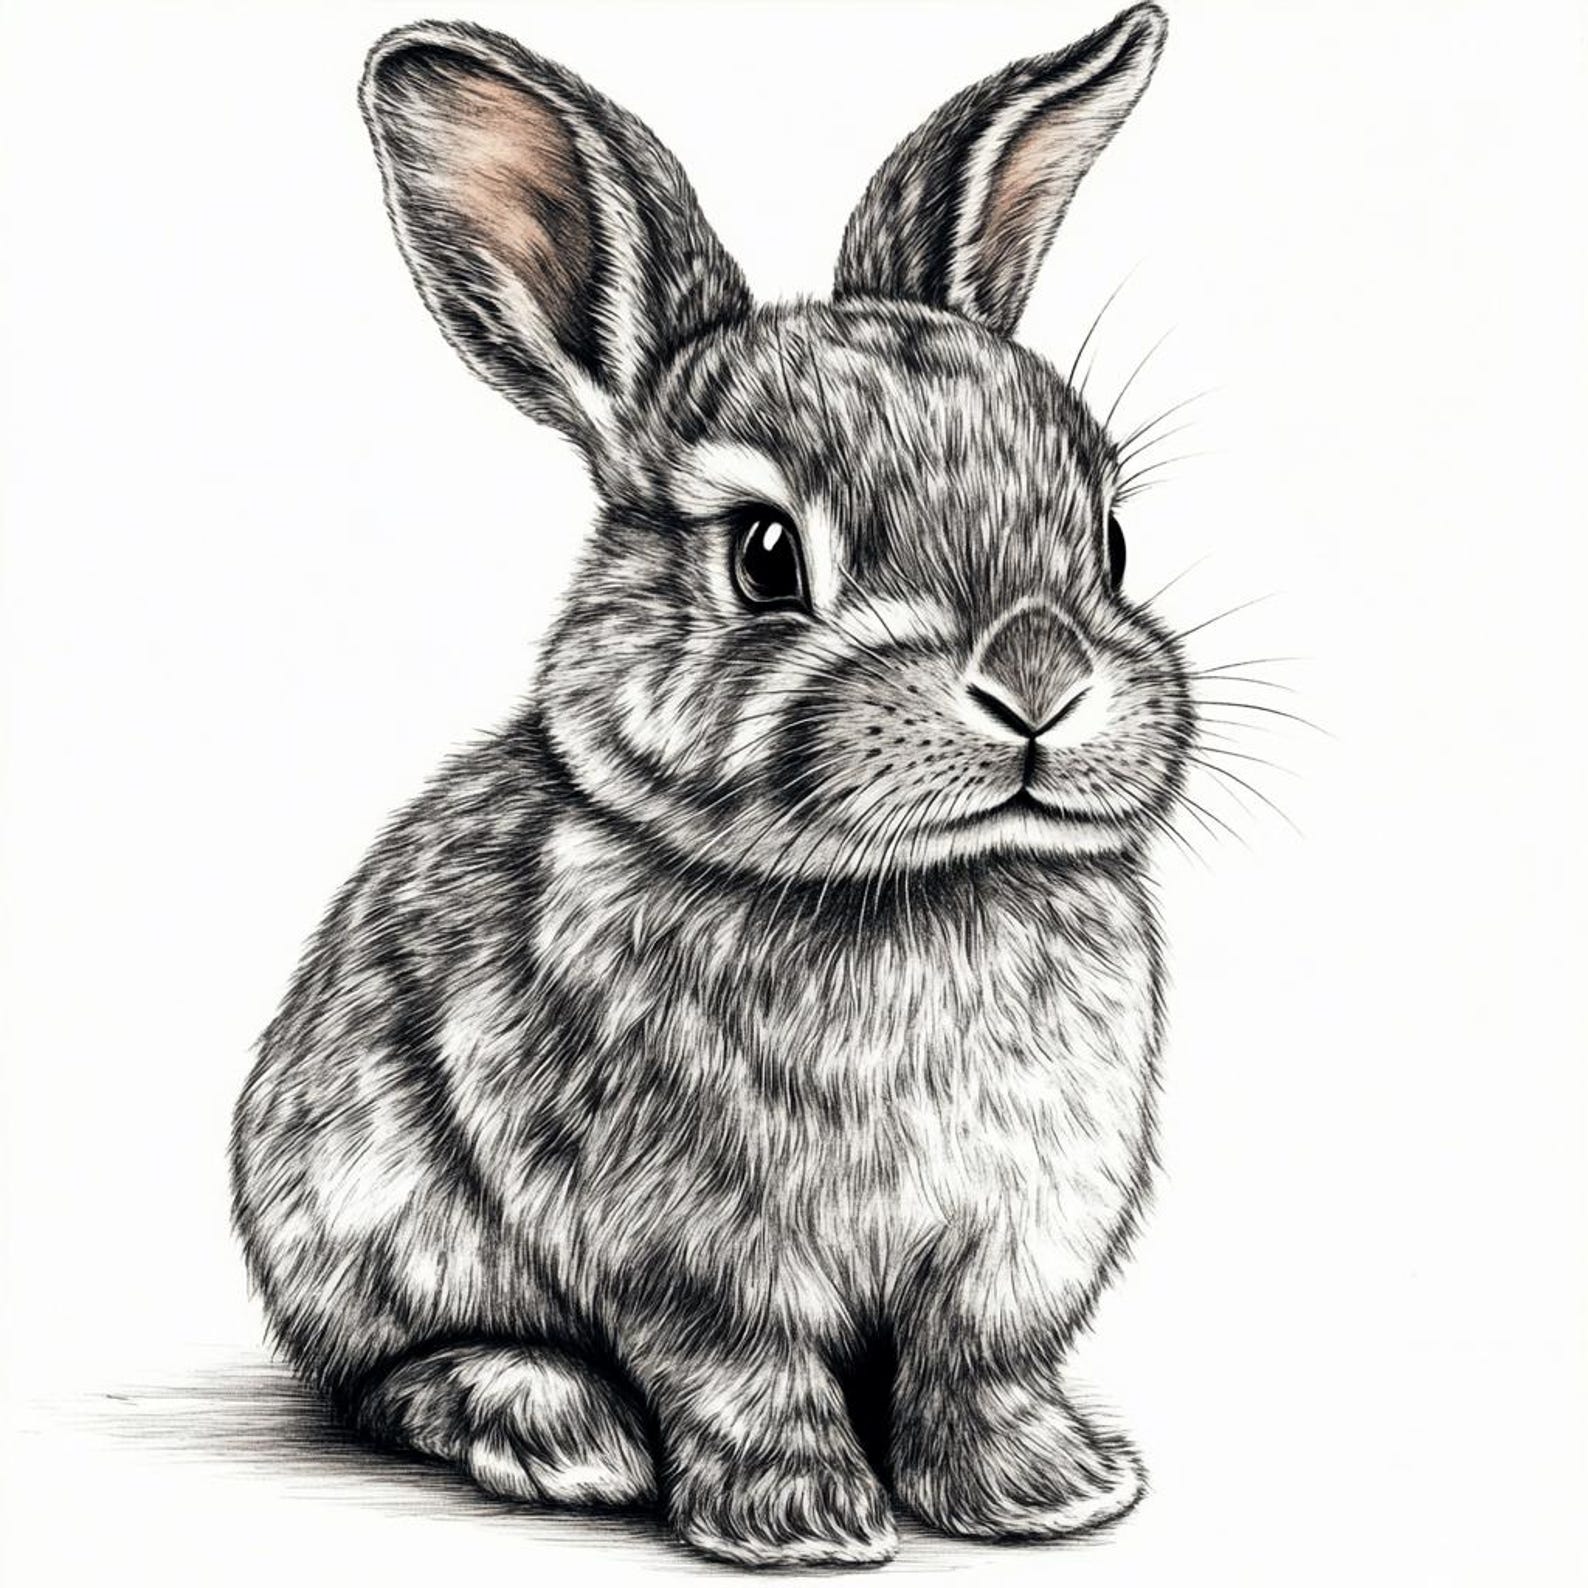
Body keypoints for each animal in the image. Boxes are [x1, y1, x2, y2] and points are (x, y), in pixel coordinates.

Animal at [231, 2, 1193, 1568]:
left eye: (1108, 539)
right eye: (764, 555)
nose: (1039, 679)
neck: (905, 891)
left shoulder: (1020, 1234)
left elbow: (981, 1362)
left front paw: (1048, 1493)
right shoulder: (688, 1247)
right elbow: (745, 1370)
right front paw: (799, 1523)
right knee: (396, 1373)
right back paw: (553, 1430)